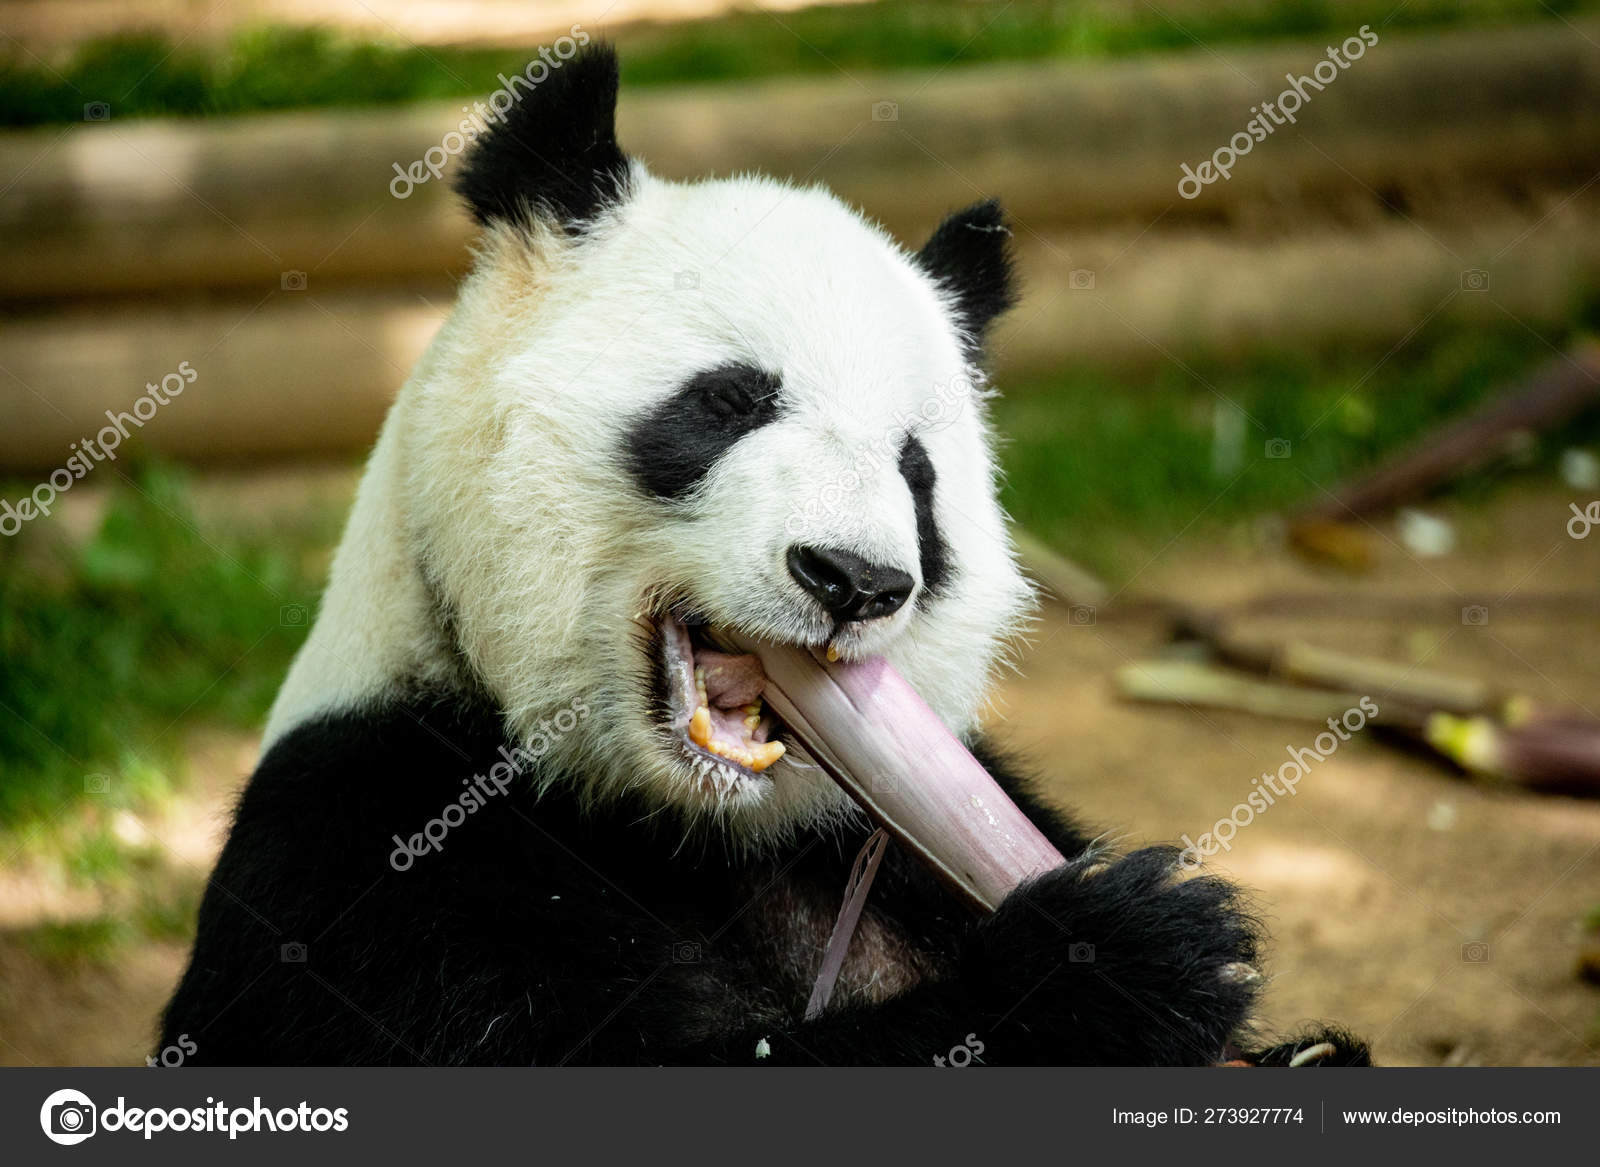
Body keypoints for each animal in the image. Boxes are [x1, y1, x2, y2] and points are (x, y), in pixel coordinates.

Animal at [160, 44, 1367, 1067]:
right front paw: (1119, 959)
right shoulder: (372, 855)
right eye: (730, 402)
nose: (853, 581)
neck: (690, 829)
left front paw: (1293, 1043)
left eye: (916, 471)